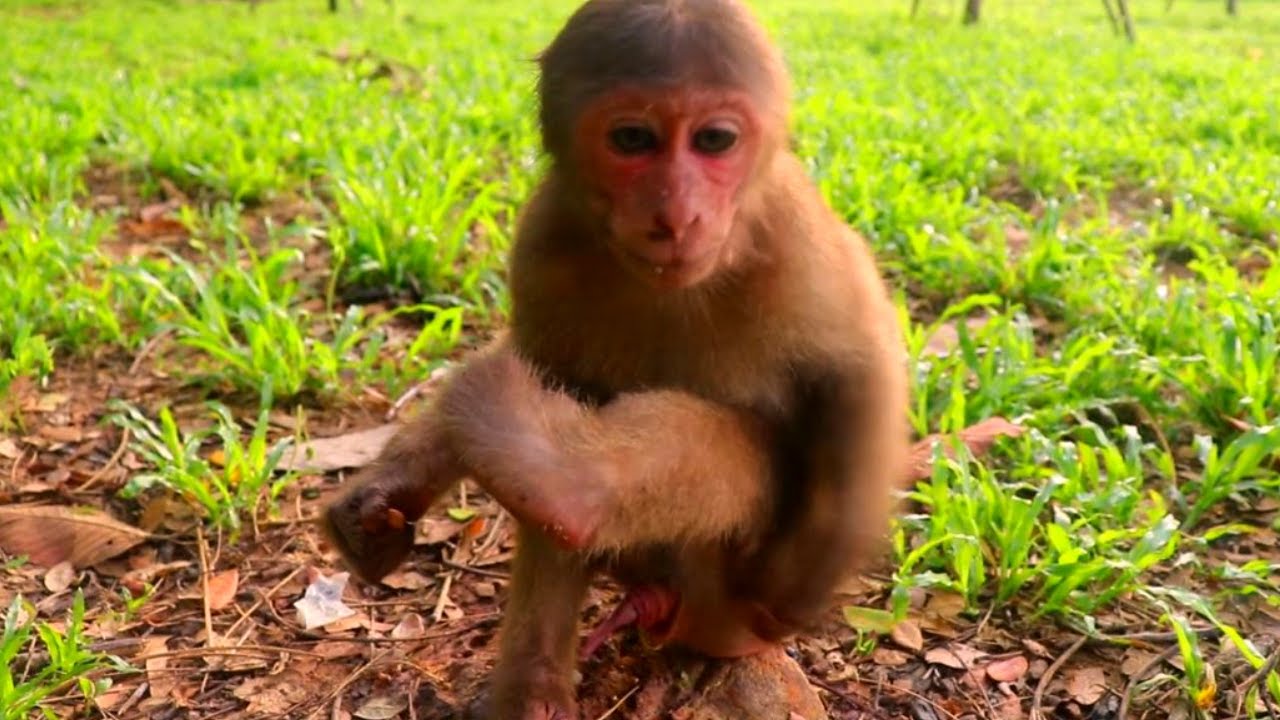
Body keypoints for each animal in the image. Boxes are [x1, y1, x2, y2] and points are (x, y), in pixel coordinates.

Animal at [321, 1, 910, 718]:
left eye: (715, 141)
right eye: (633, 140)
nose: (677, 215)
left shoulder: (794, 234)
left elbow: (859, 366)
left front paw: (802, 581)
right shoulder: (541, 241)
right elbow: (544, 365)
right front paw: (388, 489)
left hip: (720, 612)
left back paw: (567, 484)